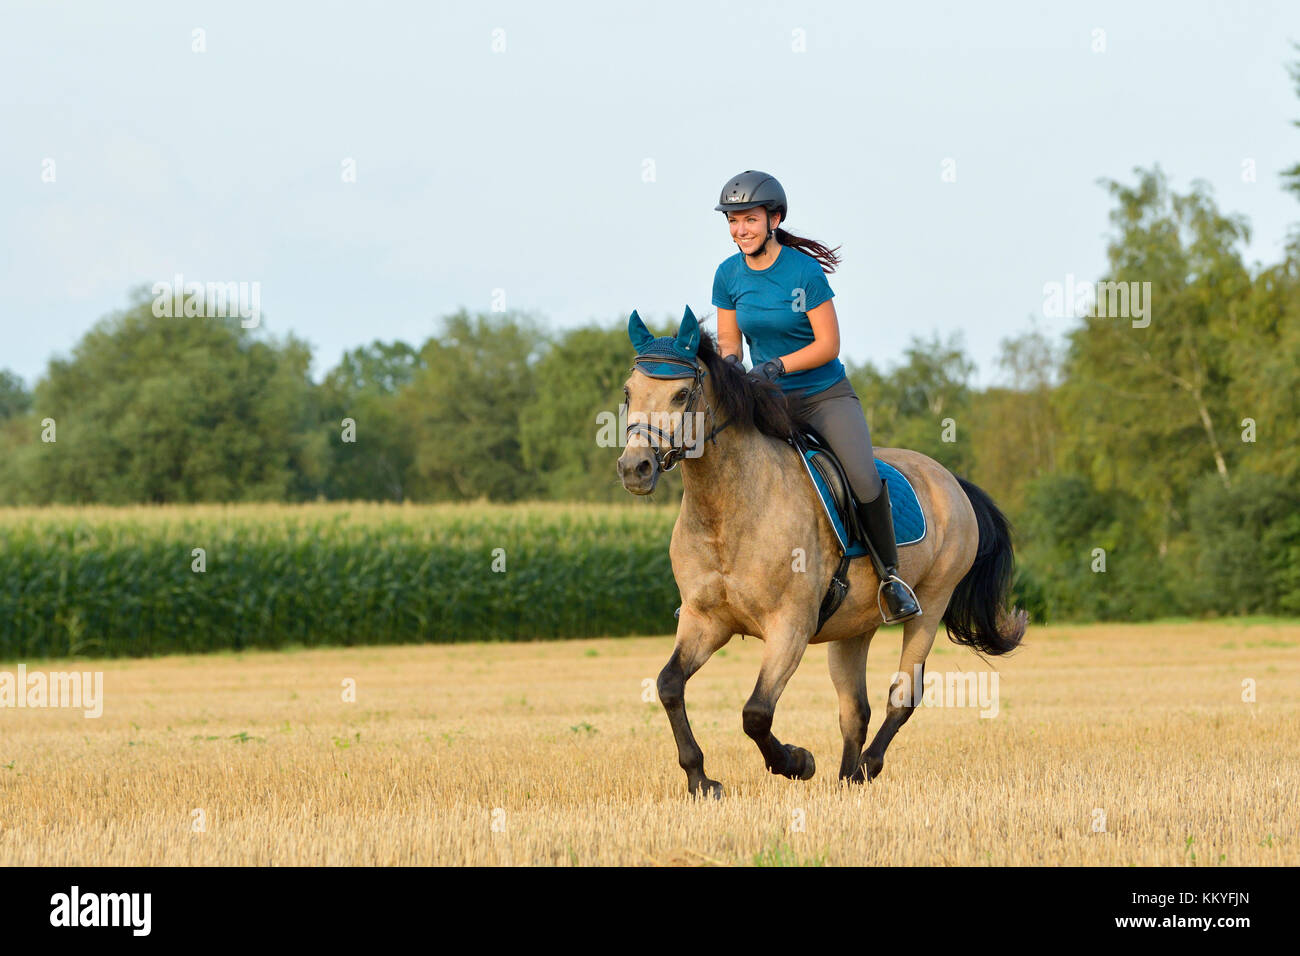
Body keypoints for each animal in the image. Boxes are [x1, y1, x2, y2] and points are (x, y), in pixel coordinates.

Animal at [616, 306, 1028, 798]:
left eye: (681, 394)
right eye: (628, 391)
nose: (634, 469)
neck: (726, 509)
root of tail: (950, 479)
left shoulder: (789, 626)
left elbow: (756, 713)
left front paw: (796, 761)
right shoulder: (705, 620)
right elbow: (669, 685)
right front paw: (700, 778)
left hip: (932, 603)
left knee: (903, 695)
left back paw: (866, 767)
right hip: (853, 627)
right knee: (855, 709)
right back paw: (847, 778)